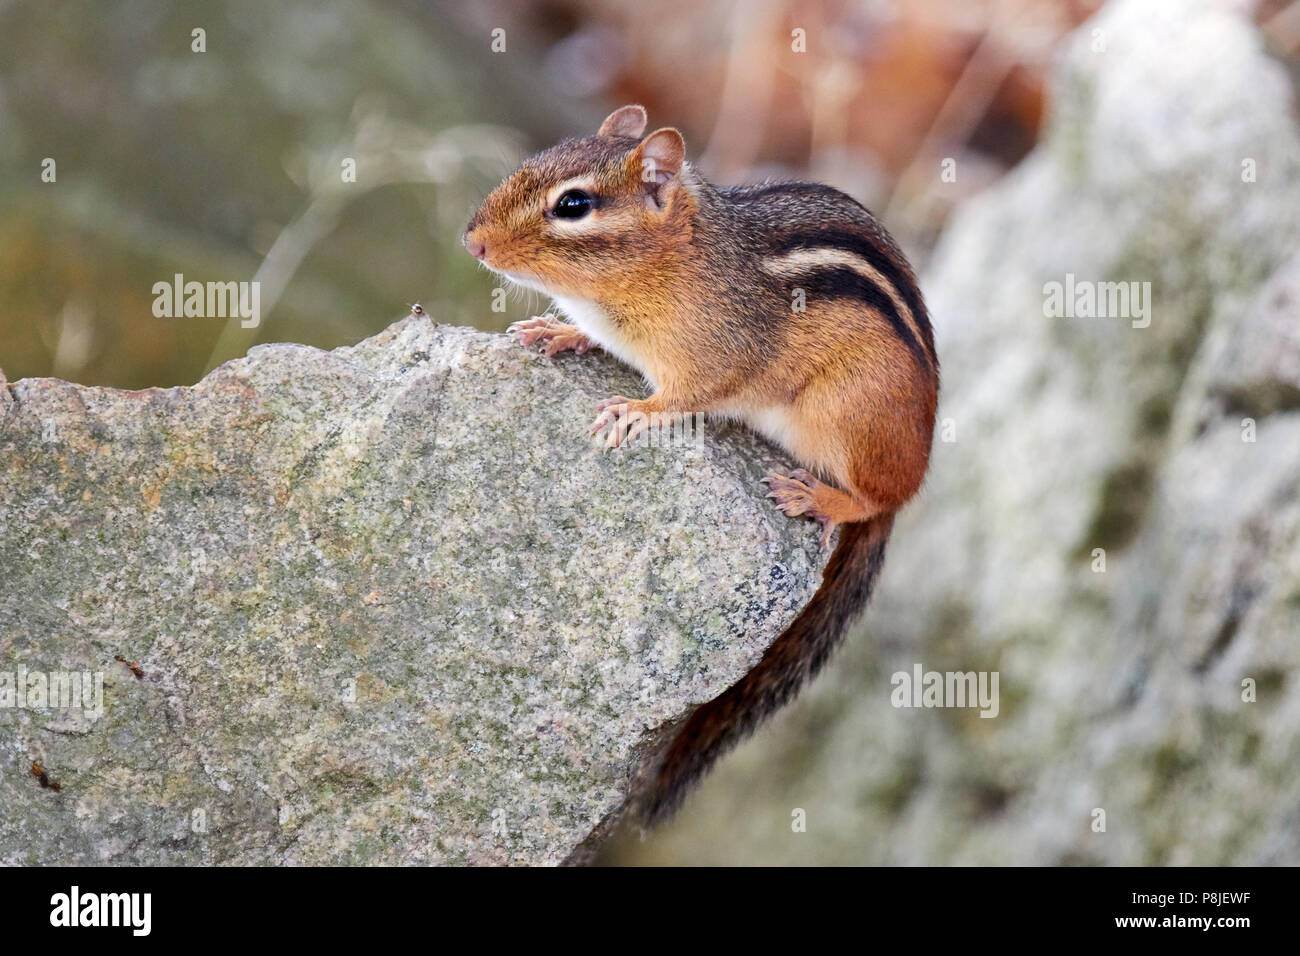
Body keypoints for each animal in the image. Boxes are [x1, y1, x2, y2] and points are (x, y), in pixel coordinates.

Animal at [464, 105, 938, 825]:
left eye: (573, 205)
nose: (472, 243)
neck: (674, 255)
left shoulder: (714, 359)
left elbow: (684, 398)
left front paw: (637, 410)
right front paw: (558, 332)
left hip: (848, 419)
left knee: (873, 499)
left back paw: (819, 498)